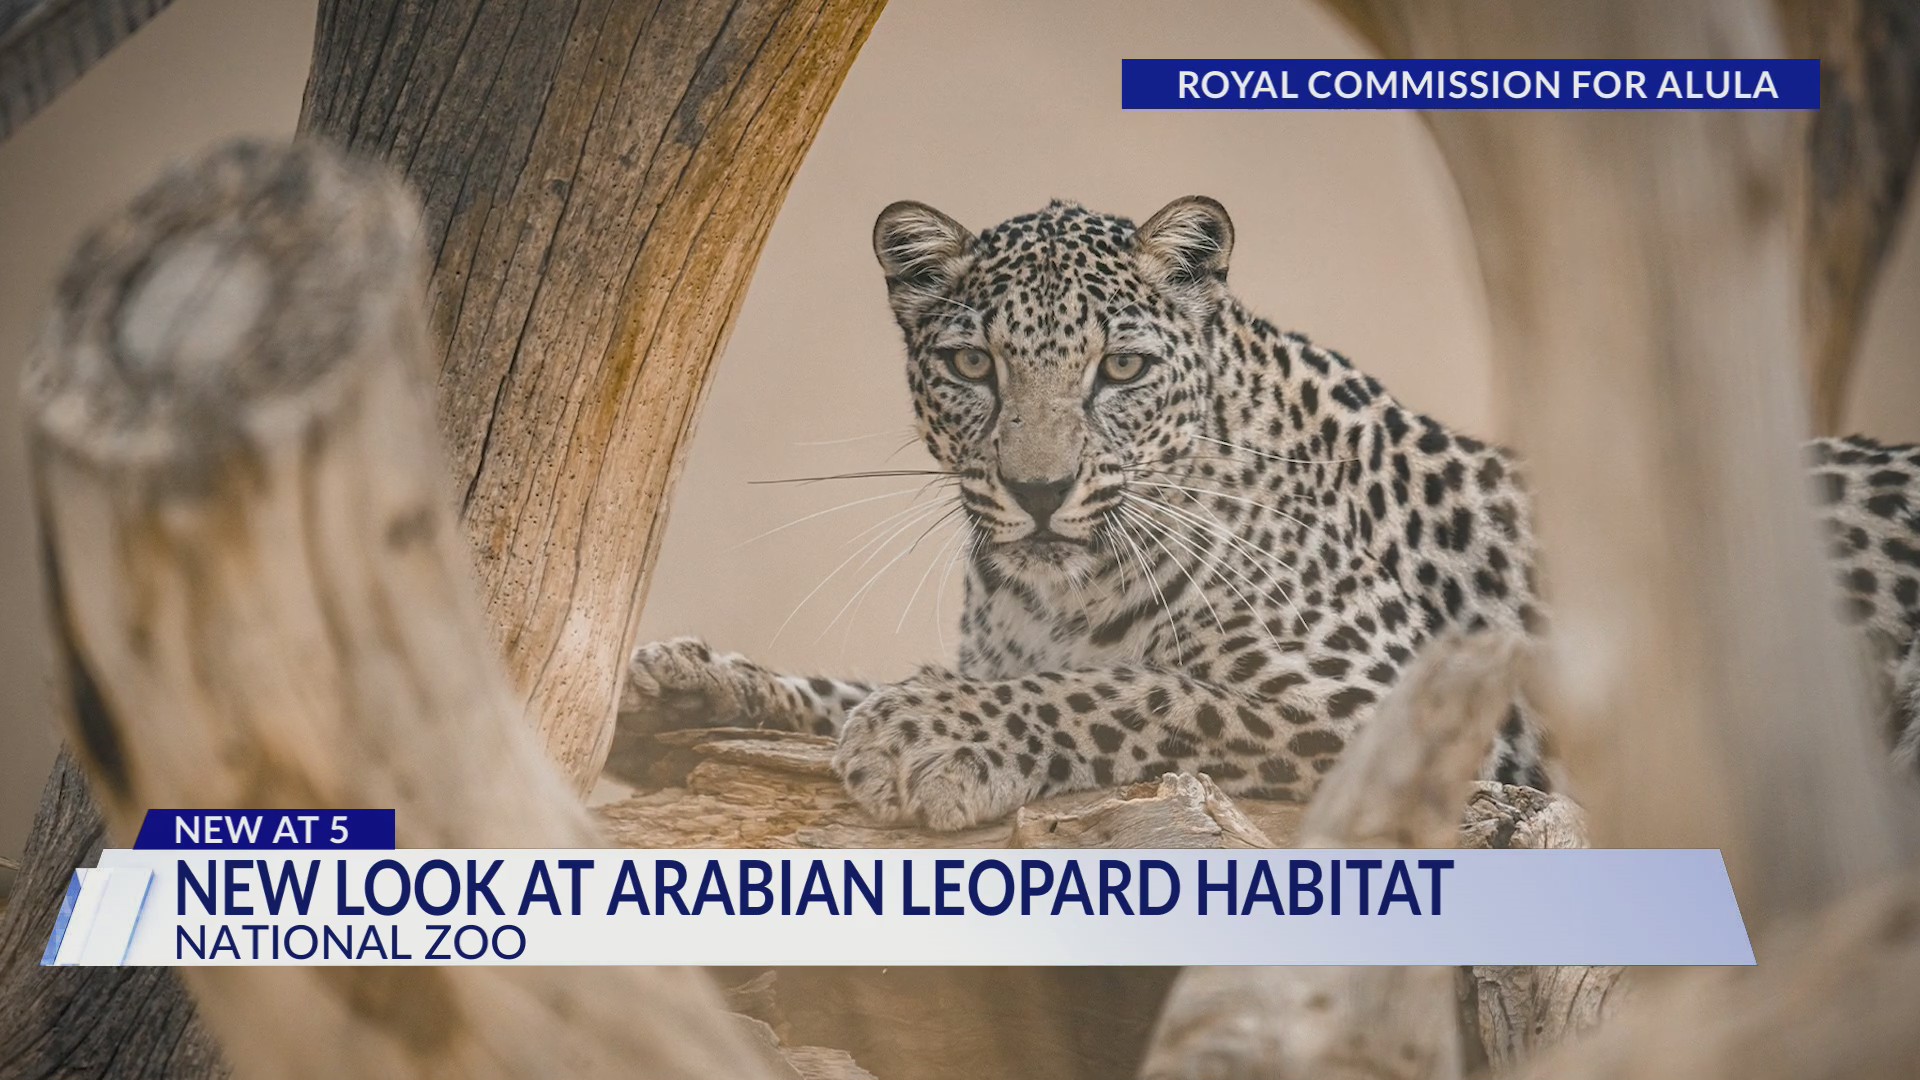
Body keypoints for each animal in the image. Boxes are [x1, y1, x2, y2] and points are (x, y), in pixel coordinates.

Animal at [622, 195, 1920, 831]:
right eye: (974, 366)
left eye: (1120, 370)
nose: (1038, 492)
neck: (1057, 584)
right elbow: (880, 676)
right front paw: (687, 679)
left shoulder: (1402, 707)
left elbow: (1138, 693)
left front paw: (934, 738)